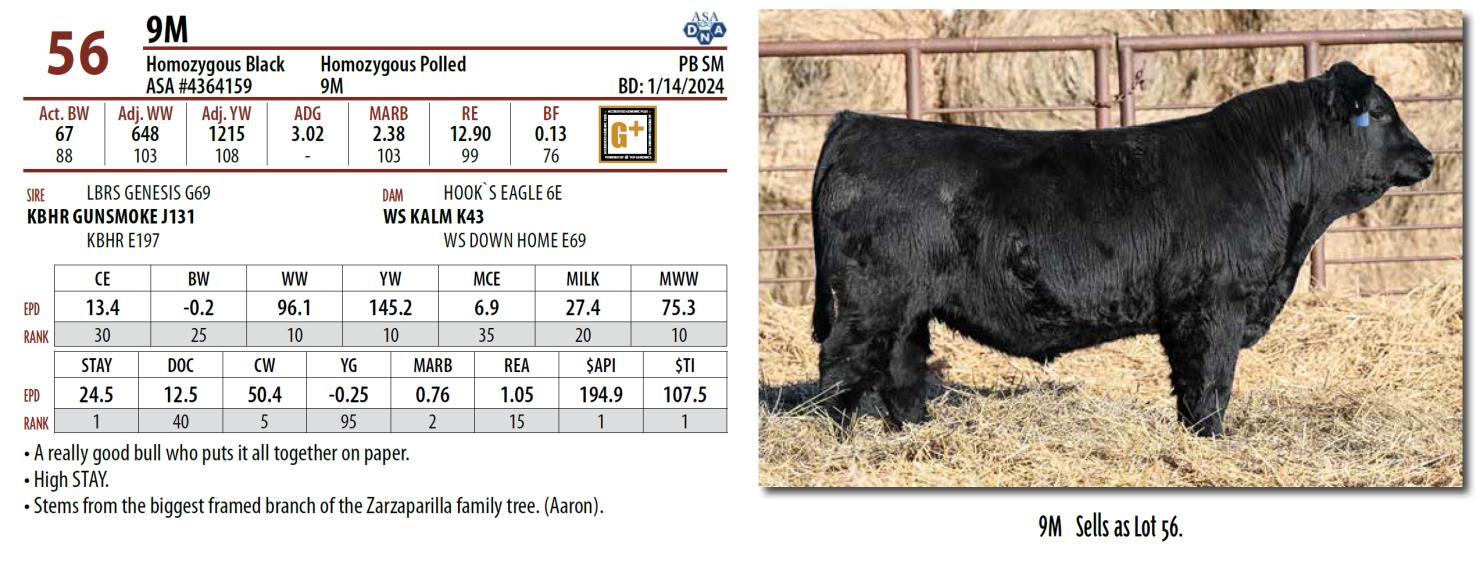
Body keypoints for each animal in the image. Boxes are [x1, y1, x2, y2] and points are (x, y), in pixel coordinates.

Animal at [809, 61, 1433, 437]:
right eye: (1379, 112)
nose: (1426, 157)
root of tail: (856, 123)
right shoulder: (1215, 304)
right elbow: (1212, 381)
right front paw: (1211, 440)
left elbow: (1190, 384)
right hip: (871, 297)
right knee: (842, 365)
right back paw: (836, 440)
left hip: (906, 306)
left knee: (900, 368)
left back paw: (917, 432)